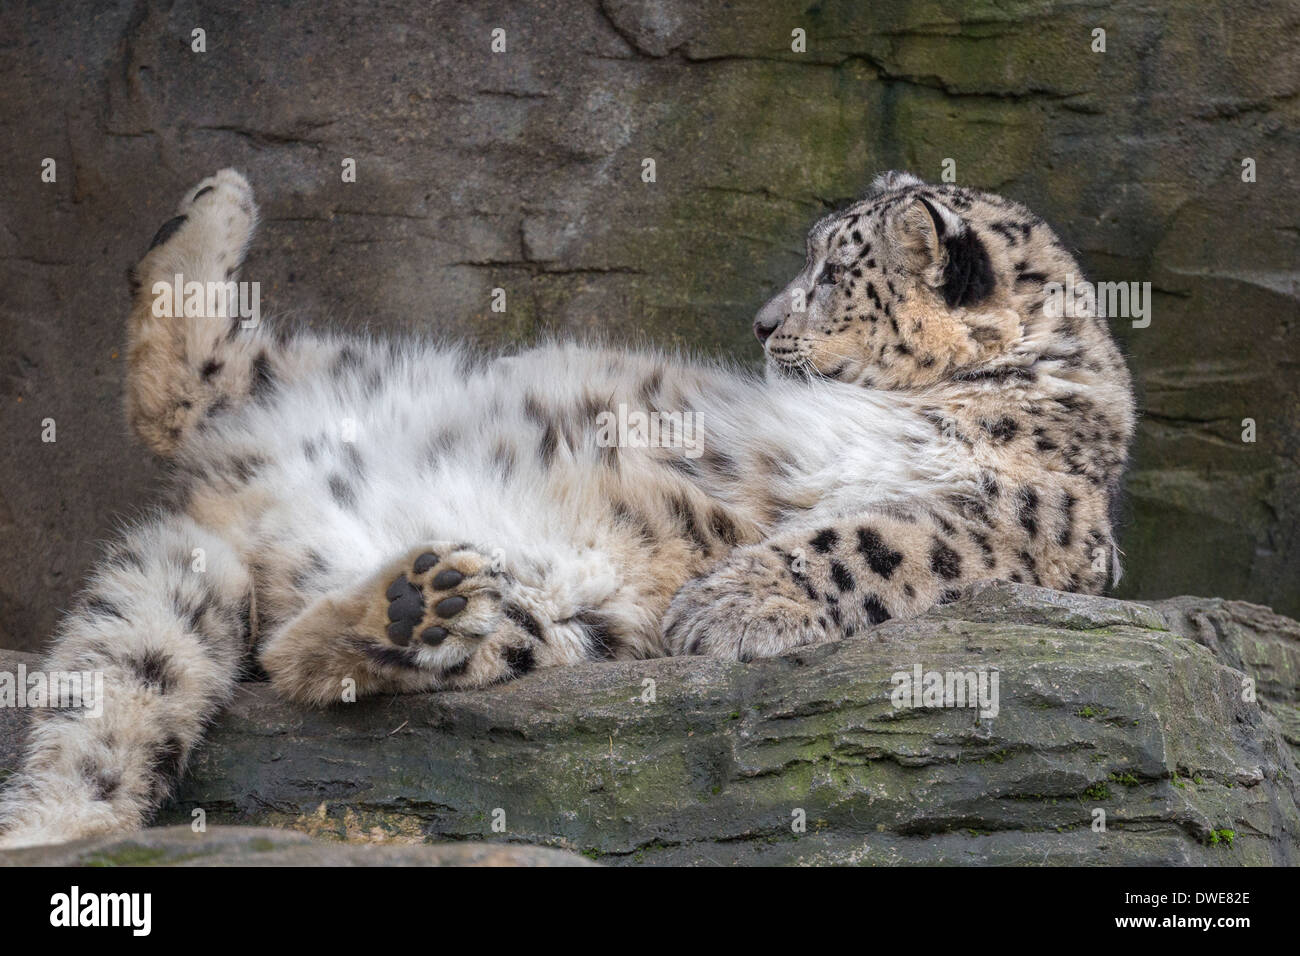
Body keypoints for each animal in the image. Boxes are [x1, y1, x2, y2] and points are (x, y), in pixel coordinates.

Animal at [0, 168, 1134, 848]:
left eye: (831, 273)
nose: (764, 322)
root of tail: (239, 512)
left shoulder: (1023, 520)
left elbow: (871, 538)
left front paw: (729, 605)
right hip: (336, 368)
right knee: (187, 382)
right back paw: (215, 204)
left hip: (549, 610)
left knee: (294, 651)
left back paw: (414, 602)